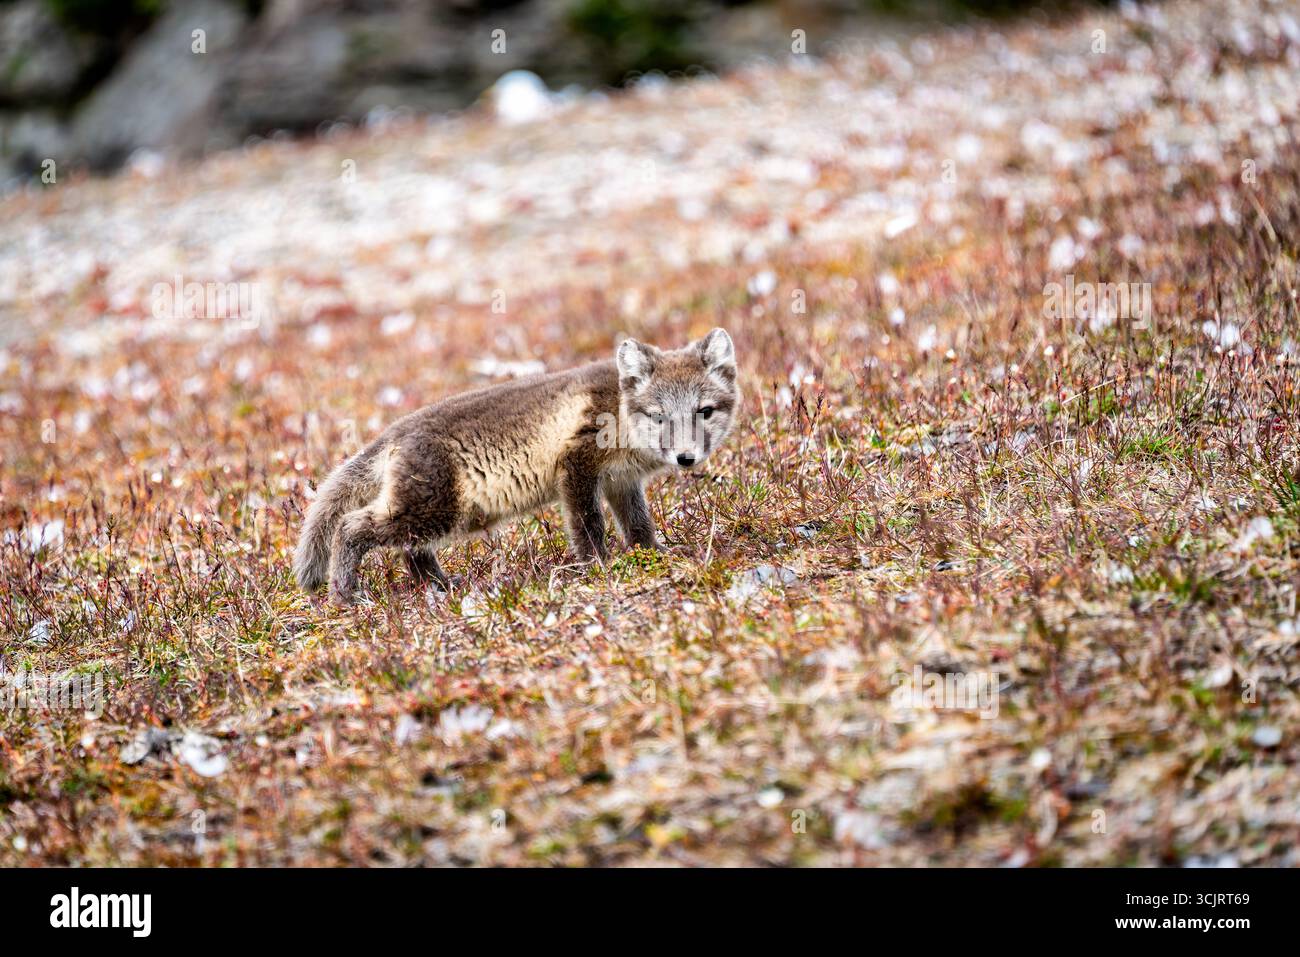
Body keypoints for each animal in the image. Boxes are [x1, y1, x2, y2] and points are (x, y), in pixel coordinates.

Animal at [294, 329, 739, 604]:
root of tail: (394, 432)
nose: (686, 458)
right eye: (660, 417)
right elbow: (588, 525)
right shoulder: (576, 465)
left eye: (704, 411)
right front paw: (600, 566)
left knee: (410, 551)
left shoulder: (621, 481)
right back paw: (345, 595)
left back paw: (441, 586)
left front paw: (653, 555)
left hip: (431, 513)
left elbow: (638, 523)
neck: (620, 414)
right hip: (434, 510)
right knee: (351, 526)